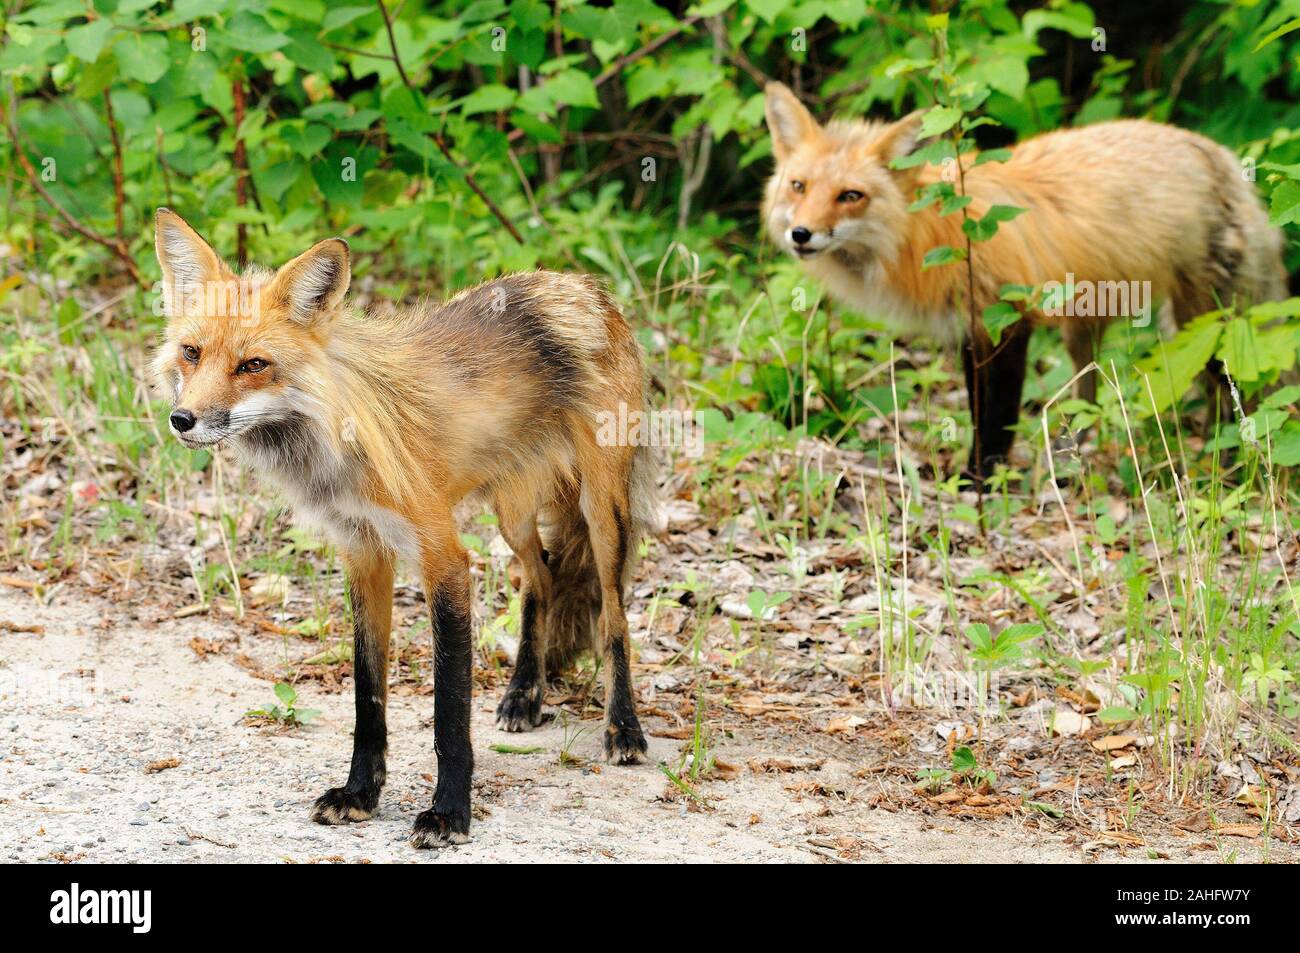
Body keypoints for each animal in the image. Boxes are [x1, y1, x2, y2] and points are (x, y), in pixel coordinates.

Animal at [150, 208, 659, 848]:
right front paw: (360, 794)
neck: (337, 441)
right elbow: (368, 698)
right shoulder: (364, 553)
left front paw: (449, 812)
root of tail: (576, 284)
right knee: (540, 580)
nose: (182, 419)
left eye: (253, 365)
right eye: (192, 353)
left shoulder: (444, 558)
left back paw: (623, 728)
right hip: (513, 511)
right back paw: (523, 694)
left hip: (601, 510)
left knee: (614, 614)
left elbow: (448, 713)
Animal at [762, 82, 1287, 482]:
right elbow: (980, 411)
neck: (926, 231)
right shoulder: (968, 330)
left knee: (1243, 395)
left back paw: (1235, 462)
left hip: (1211, 329)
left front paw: (980, 480)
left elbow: (997, 419)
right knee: (1091, 397)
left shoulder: (1006, 320)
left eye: (850, 196)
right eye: (799, 187)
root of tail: (1217, 153)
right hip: (1094, 328)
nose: (800, 234)